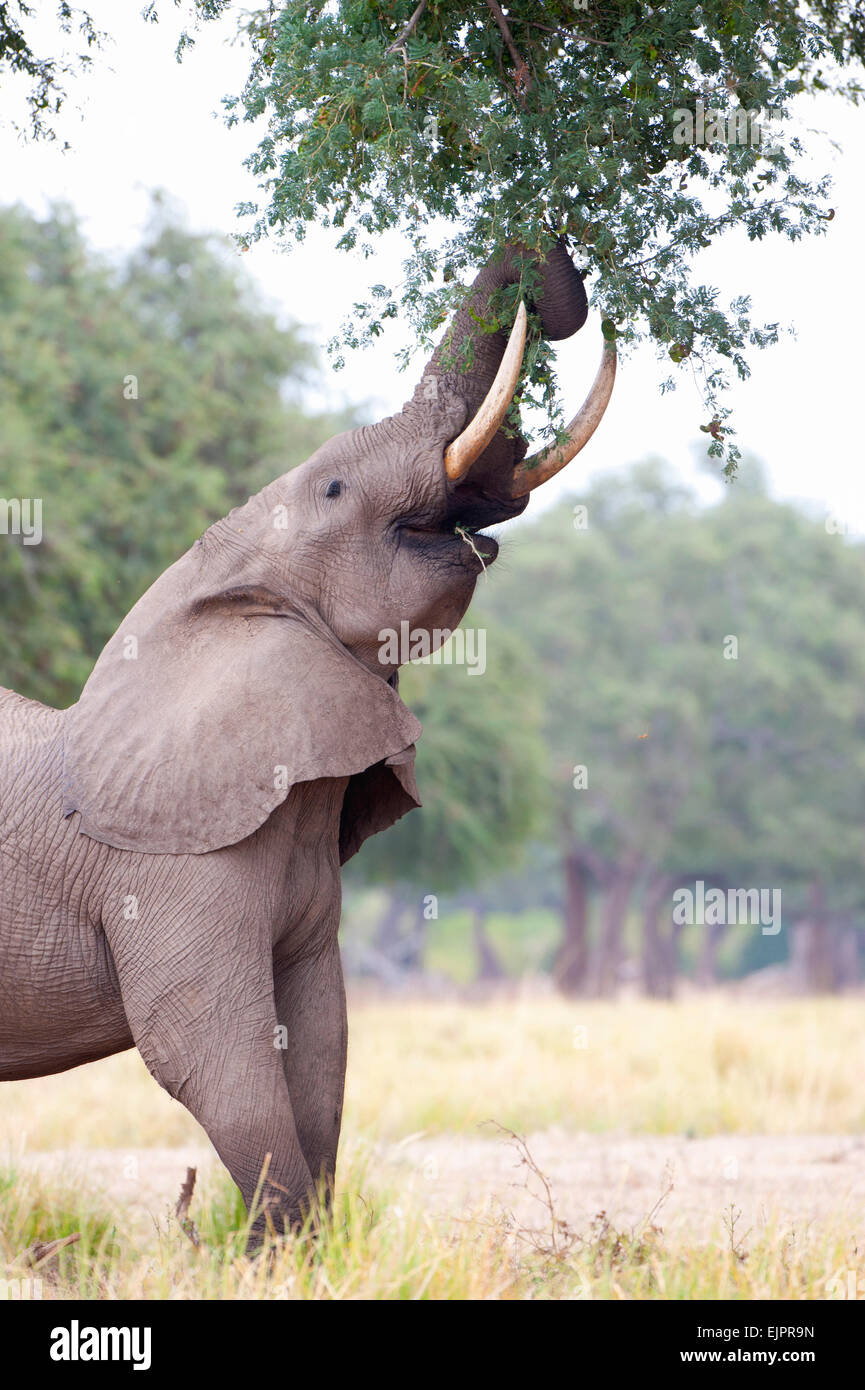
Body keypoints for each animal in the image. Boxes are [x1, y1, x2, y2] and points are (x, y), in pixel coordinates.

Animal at [0, 239, 614, 1241]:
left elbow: (321, 1040)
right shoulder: (168, 867)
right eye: (333, 487)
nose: (551, 265)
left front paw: (310, 1249)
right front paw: (279, 1250)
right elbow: (212, 1053)